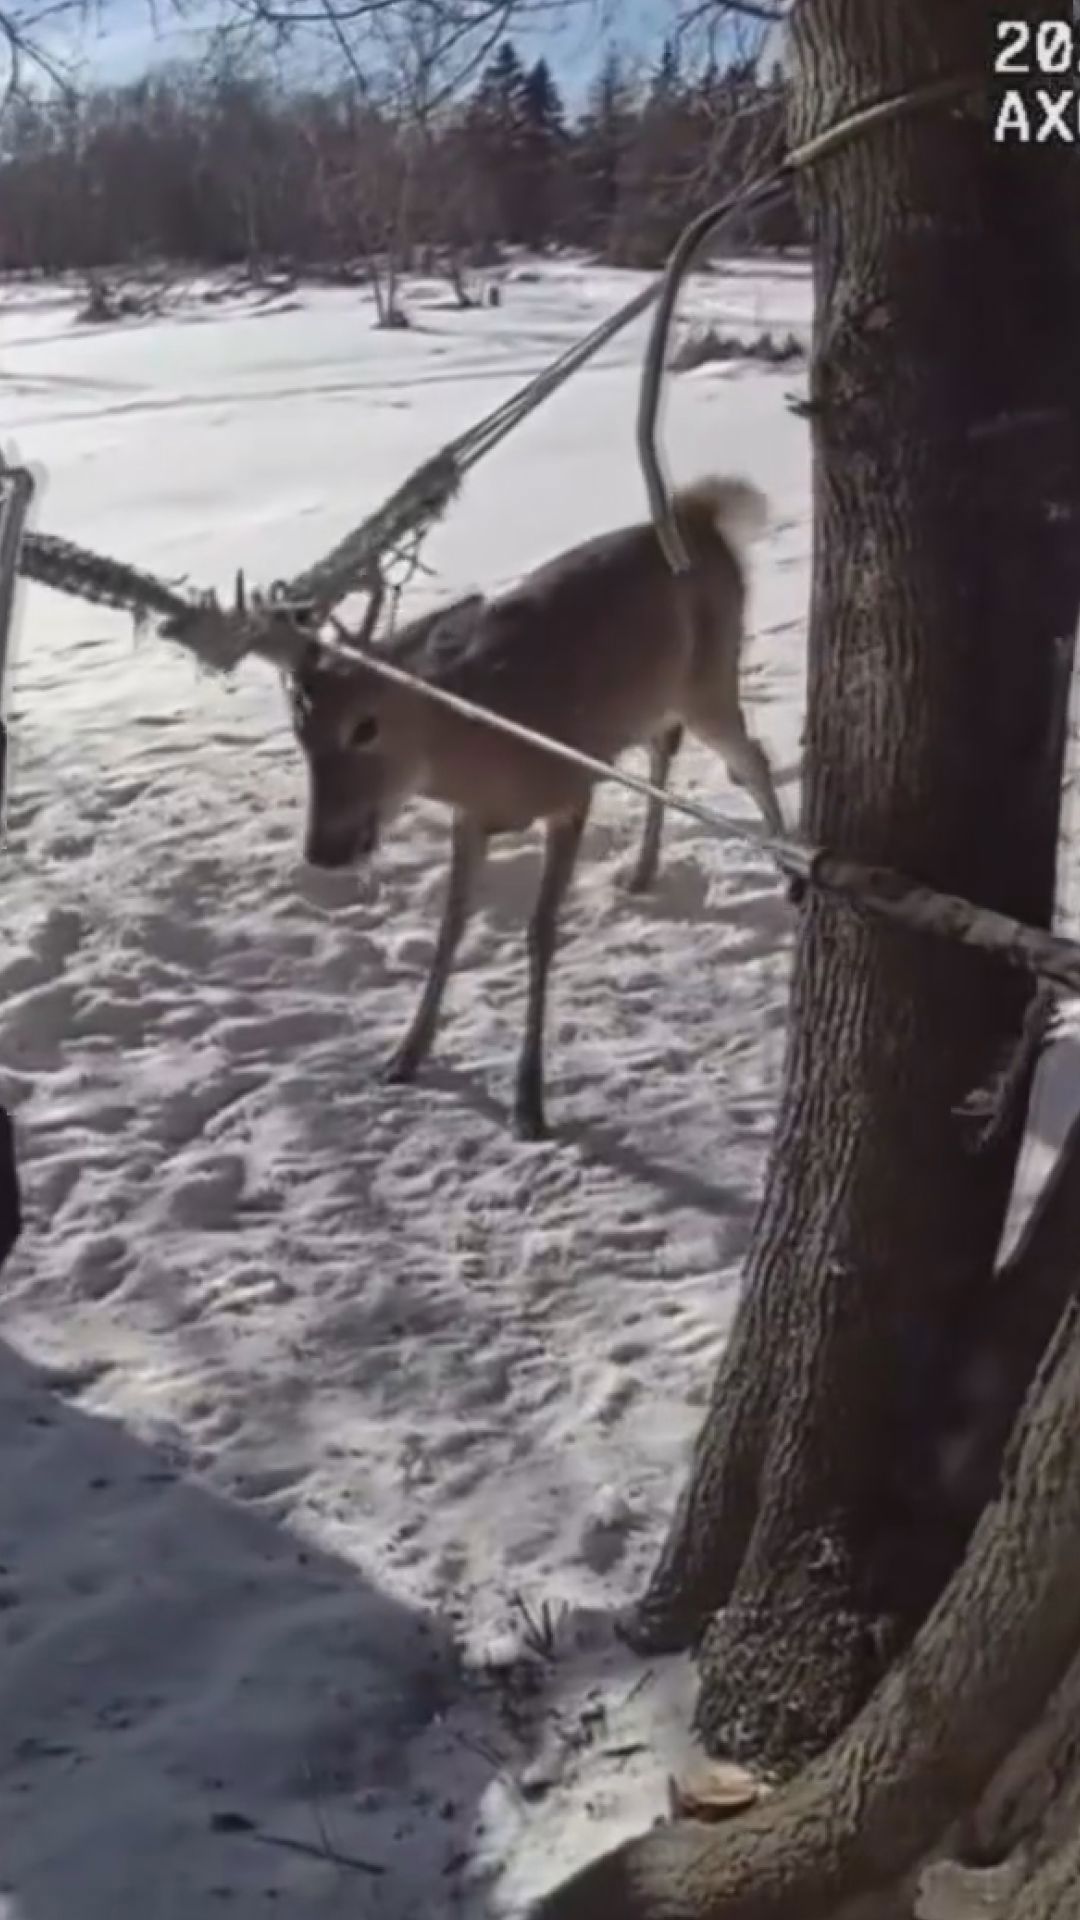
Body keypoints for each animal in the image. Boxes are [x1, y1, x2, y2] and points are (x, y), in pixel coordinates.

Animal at [288, 475, 785, 1141]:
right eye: (300, 732)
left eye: (365, 726)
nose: (324, 848)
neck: (493, 744)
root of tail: (697, 511)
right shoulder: (469, 819)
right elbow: (450, 928)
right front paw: (405, 1055)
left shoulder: (571, 791)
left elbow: (540, 932)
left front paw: (529, 1101)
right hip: (655, 695)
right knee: (666, 742)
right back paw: (642, 869)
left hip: (710, 676)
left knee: (751, 757)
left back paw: (789, 870)